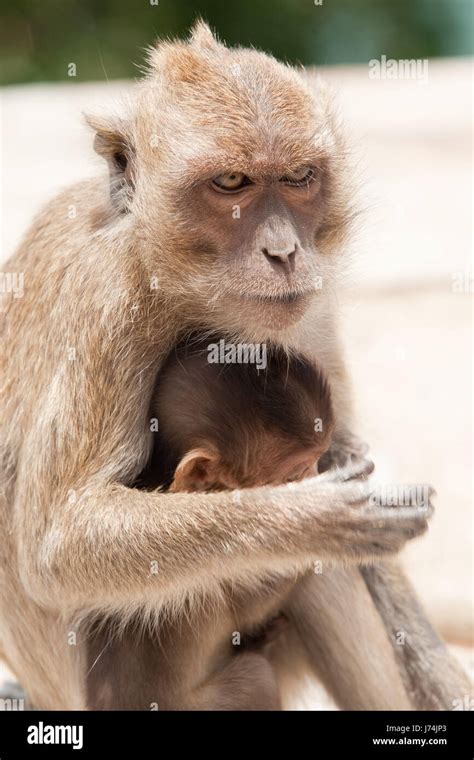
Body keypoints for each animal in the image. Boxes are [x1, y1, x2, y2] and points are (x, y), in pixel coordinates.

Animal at [0, 21, 469, 711]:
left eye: (299, 177)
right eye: (231, 184)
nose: (284, 251)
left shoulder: (309, 307)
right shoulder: (110, 299)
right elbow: (58, 544)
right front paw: (314, 518)